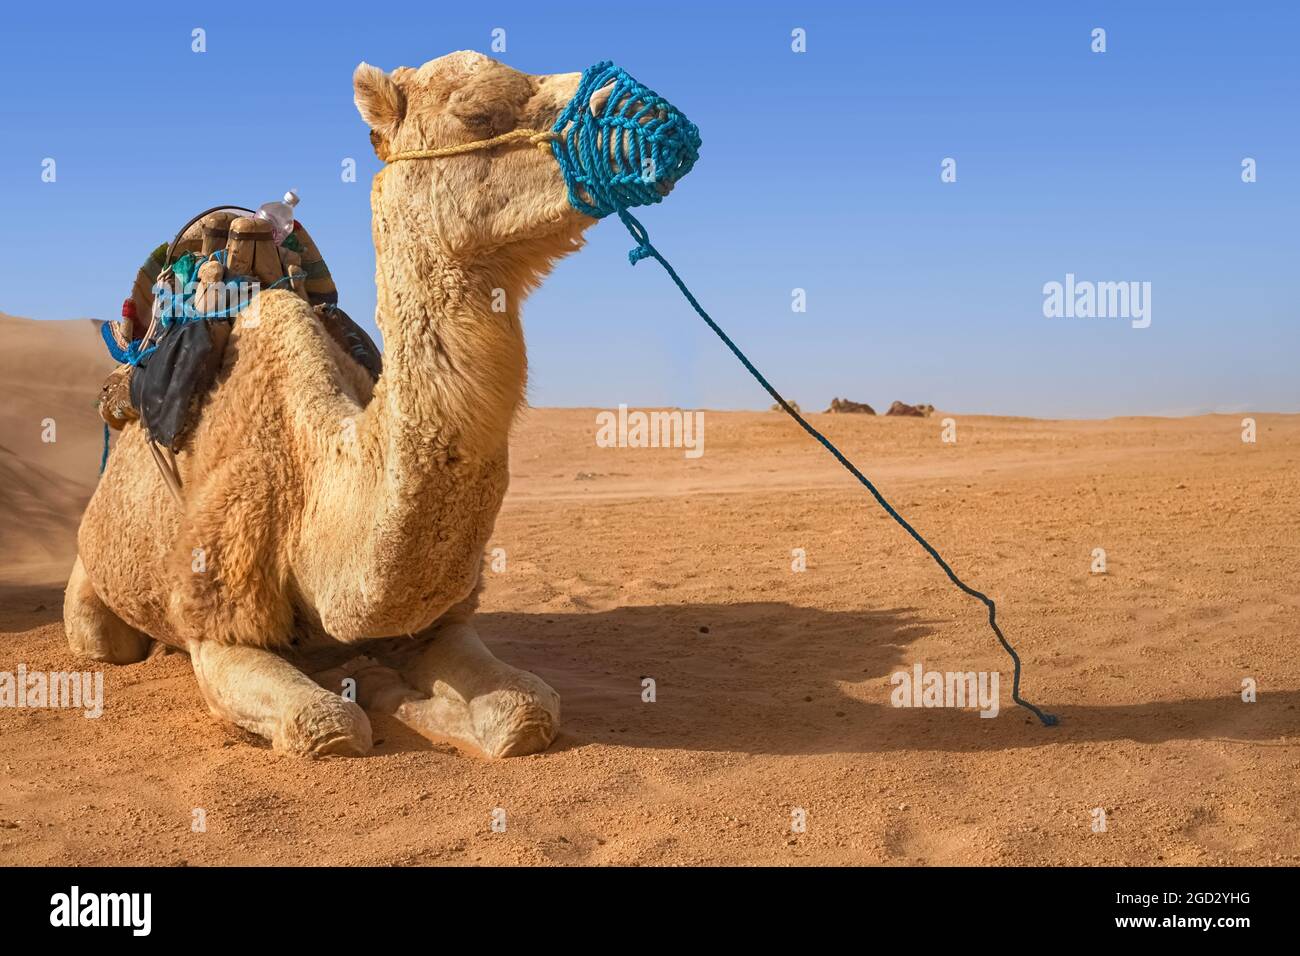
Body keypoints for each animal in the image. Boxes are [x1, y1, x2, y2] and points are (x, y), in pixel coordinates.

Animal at [64, 51, 608, 758]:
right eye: (476, 114)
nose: (620, 102)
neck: (317, 483)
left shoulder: (437, 620)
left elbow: (526, 712)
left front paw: (391, 688)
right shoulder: (217, 619)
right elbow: (329, 726)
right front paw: (370, 693)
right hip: (94, 588)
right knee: (104, 640)